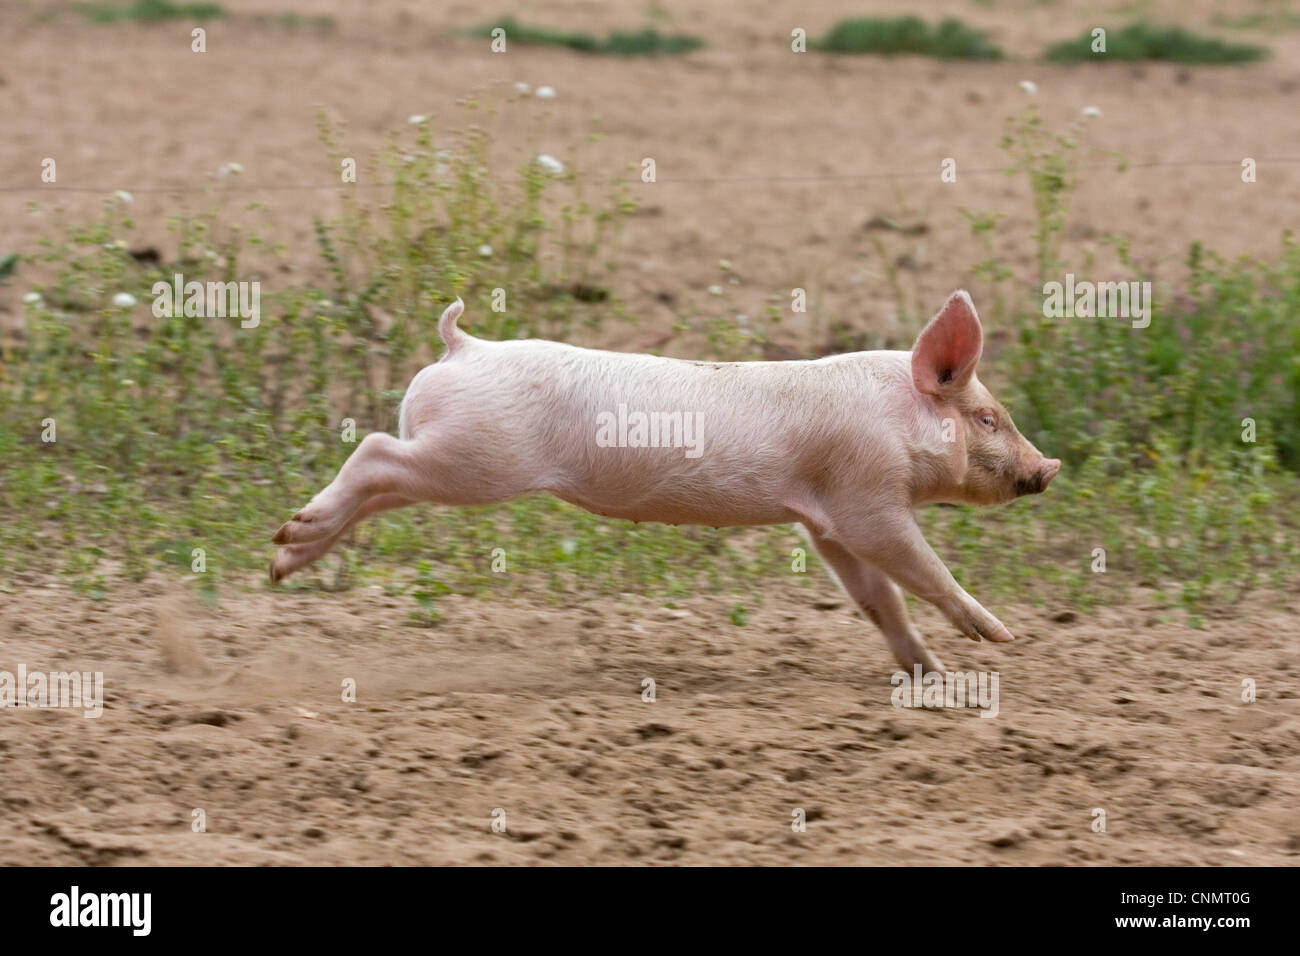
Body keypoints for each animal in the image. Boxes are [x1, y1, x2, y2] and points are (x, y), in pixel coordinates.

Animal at [271, 290, 1060, 675]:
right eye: (987, 417)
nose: (1047, 470)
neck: (895, 422)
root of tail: (463, 345)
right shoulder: (866, 495)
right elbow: (920, 566)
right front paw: (1004, 638)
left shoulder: (826, 521)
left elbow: (877, 598)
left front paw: (930, 673)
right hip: (475, 459)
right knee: (375, 448)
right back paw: (289, 540)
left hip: (451, 458)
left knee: (378, 480)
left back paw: (285, 559)